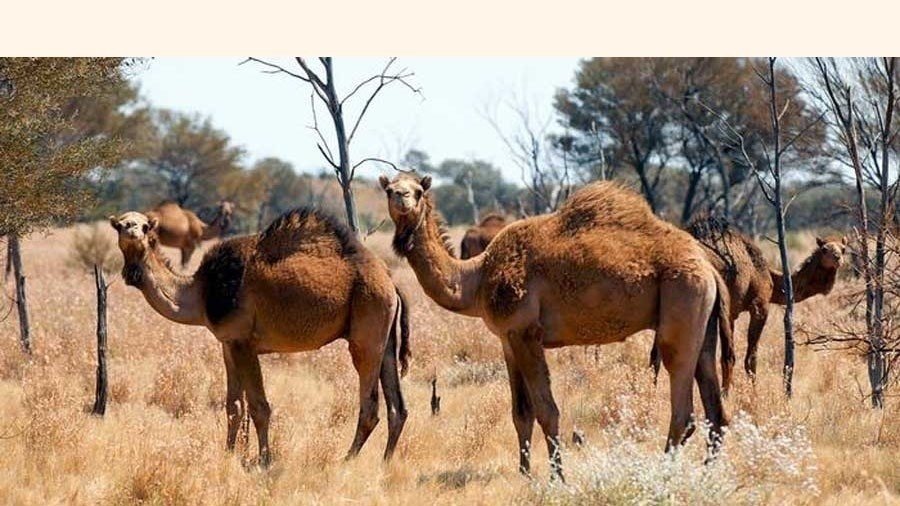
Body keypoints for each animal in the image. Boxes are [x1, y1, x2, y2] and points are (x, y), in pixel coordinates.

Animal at [109, 207, 410, 467]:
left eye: (146, 226)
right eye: (120, 225)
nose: (132, 230)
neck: (201, 292)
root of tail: (391, 282)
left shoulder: (244, 343)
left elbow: (259, 407)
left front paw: (264, 460)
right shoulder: (228, 344)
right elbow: (234, 405)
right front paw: (229, 454)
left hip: (366, 331)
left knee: (370, 406)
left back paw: (345, 461)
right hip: (385, 338)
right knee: (398, 407)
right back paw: (385, 463)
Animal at [379, 173, 734, 479]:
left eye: (418, 190)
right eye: (390, 188)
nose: (402, 198)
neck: (475, 279)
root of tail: (709, 268)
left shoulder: (526, 333)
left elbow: (546, 409)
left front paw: (557, 476)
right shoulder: (507, 340)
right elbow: (520, 412)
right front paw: (524, 473)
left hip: (683, 301)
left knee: (684, 407)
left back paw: (662, 473)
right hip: (702, 324)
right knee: (716, 409)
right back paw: (707, 474)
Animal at [650, 217, 847, 378]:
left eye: (844, 249)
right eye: (824, 249)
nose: (837, 258)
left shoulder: (732, 313)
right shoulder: (759, 305)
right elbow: (747, 359)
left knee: (656, 356)